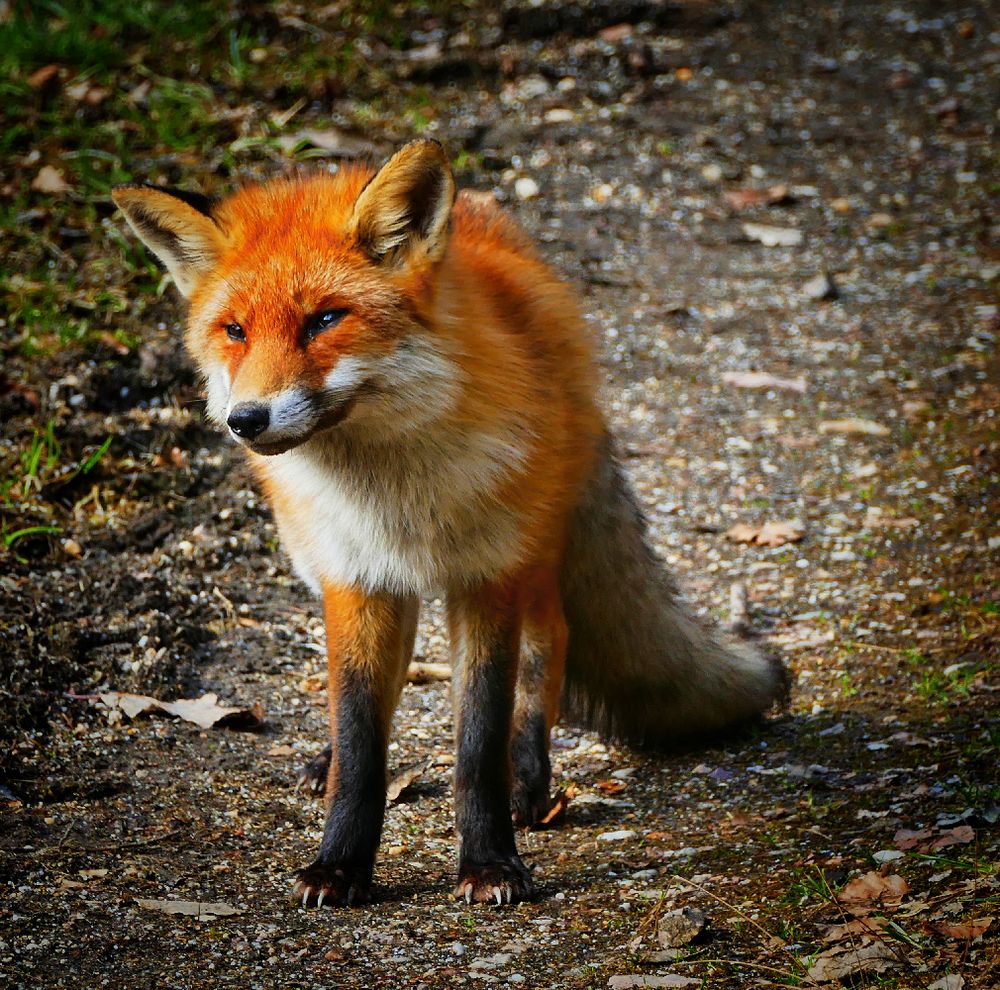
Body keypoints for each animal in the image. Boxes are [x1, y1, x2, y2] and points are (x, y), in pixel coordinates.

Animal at [111, 139, 787, 908]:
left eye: (324, 320)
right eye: (235, 331)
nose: (246, 419)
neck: (396, 496)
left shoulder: (487, 575)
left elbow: (478, 740)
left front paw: (491, 861)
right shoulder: (357, 577)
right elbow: (361, 734)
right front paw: (340, 862)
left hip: (537, 549)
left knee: (550, 645)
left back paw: (531, 780)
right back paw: (327, 760)